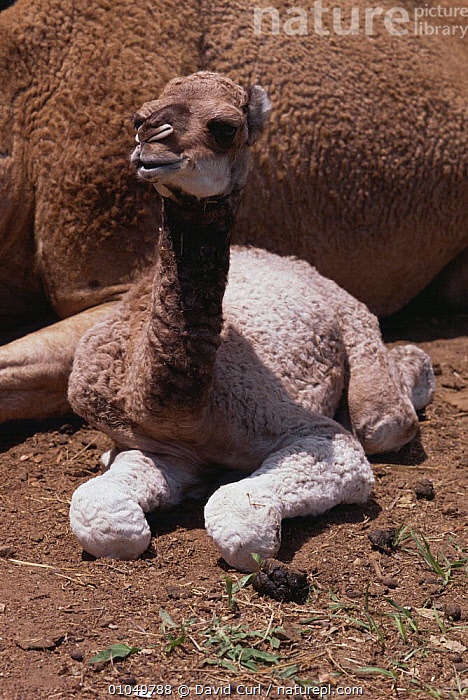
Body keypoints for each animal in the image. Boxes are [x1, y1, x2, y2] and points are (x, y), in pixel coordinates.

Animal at [68, 72, 435, 571]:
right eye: (137, 118)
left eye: (224, 127)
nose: (151, 143)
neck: (187, 412)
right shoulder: (160, 448)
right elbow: (102, 518)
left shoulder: (310, 434)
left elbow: (241, 524)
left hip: (354, 319)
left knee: (383, 421)